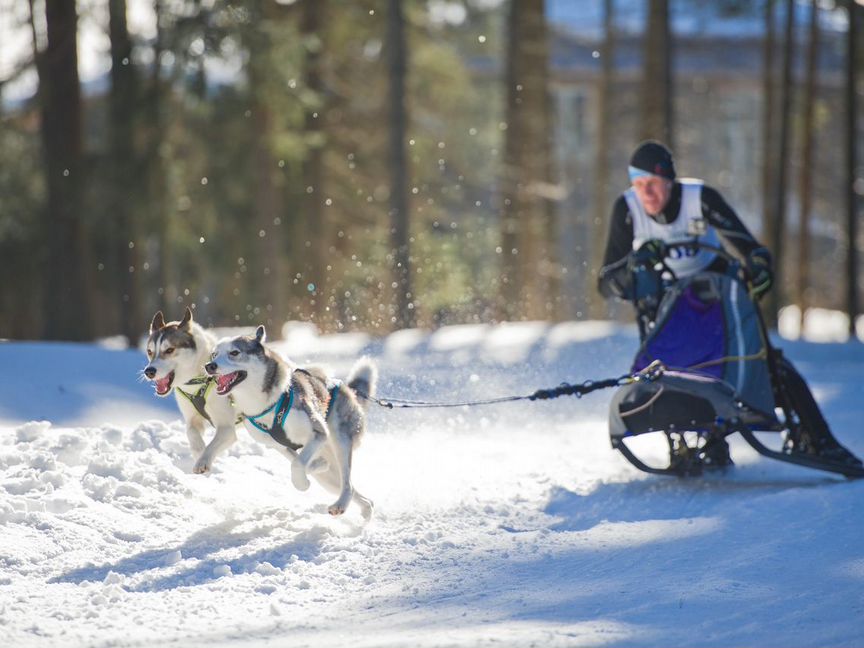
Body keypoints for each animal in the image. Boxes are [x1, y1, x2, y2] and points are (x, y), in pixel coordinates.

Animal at [143, 306, 238, 474]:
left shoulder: (226, 428)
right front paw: (199, 451)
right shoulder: (192, 419)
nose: (149, 371)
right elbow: (191, 433)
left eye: (169, 350)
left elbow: (213, 445)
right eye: (149, 351)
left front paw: (203, 461)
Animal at [208, 326, 376, 520]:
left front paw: (302, 483)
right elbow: (298, 461)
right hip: (329, 479)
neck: (267, 404)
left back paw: (341, 504)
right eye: (214, 354)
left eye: (234, 352)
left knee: (347, 482)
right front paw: (314, 468)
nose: (209, 366)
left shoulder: (318, 433)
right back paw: (365, 509)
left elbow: (297, 464)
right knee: (353, 489)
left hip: (340, 440)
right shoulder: (279, 446)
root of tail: (345, 388)